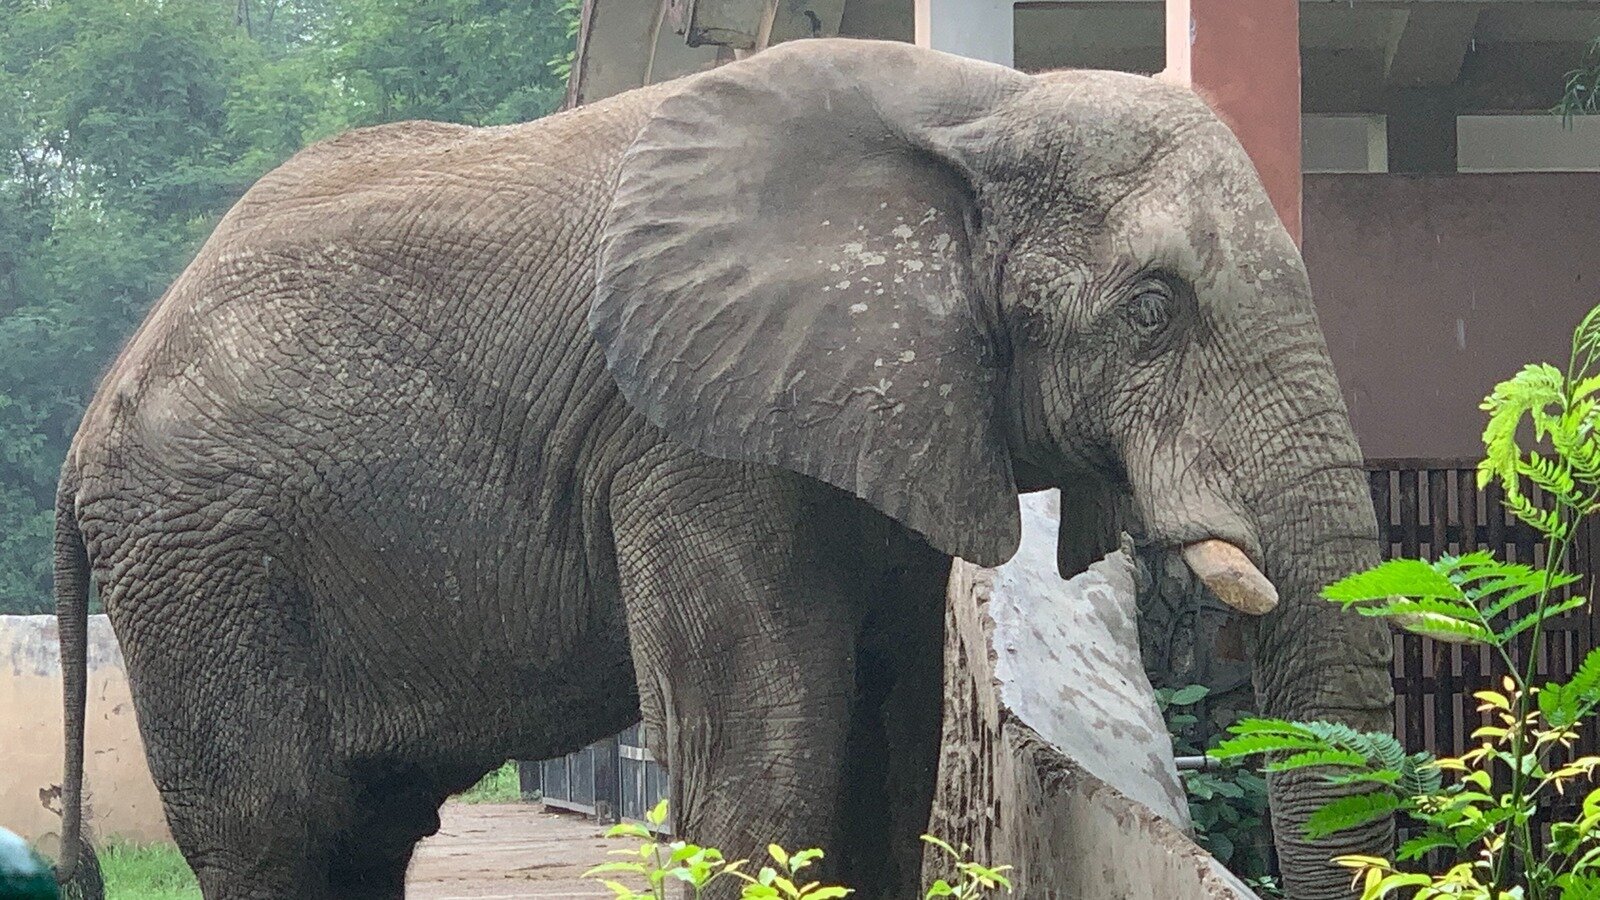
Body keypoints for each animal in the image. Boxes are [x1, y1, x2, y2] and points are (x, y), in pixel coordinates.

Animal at [51, 38, 1392, 899]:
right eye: (1153, 311)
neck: (985, 106)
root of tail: (86, 425)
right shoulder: (687, 440)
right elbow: (763, 762)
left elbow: (887, 752)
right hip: (202, 562)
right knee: (277, 831)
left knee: (368, 831)